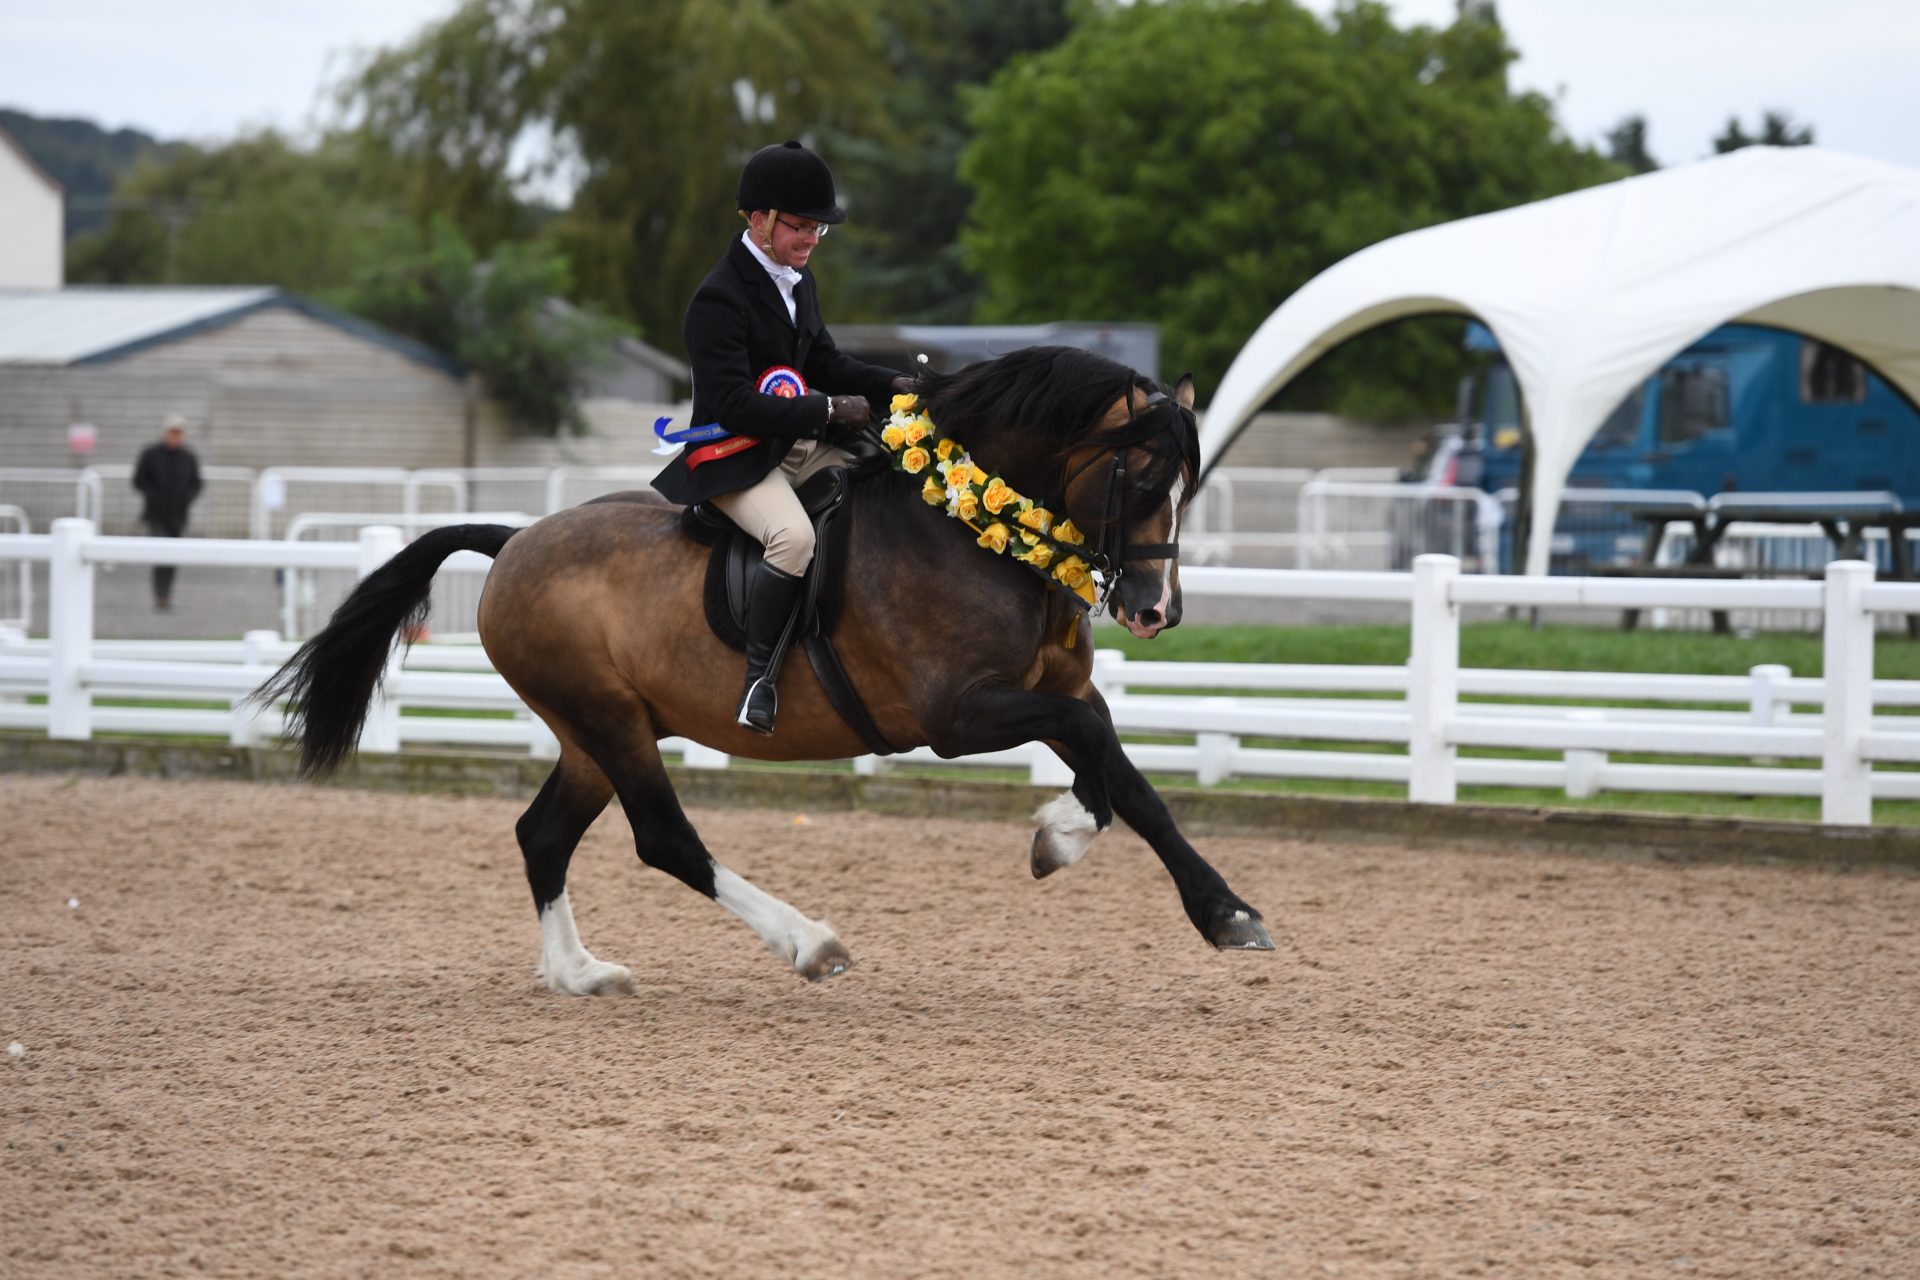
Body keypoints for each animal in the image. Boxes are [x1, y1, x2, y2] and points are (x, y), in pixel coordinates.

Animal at [256, 346, 1273, 994]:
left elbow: (1130, 780)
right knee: (665, 840)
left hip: (592, 732)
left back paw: (580, 974)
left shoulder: (1055, 688)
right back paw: (810, 944)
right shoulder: (957, 716)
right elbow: (1093, 744)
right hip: (609, 721)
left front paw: (1222, 911)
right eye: (1140, 479)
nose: (1153, 610)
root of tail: (513, 545)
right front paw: (1062, 835)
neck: (967, 532)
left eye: (1189, 489)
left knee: (543, 836)